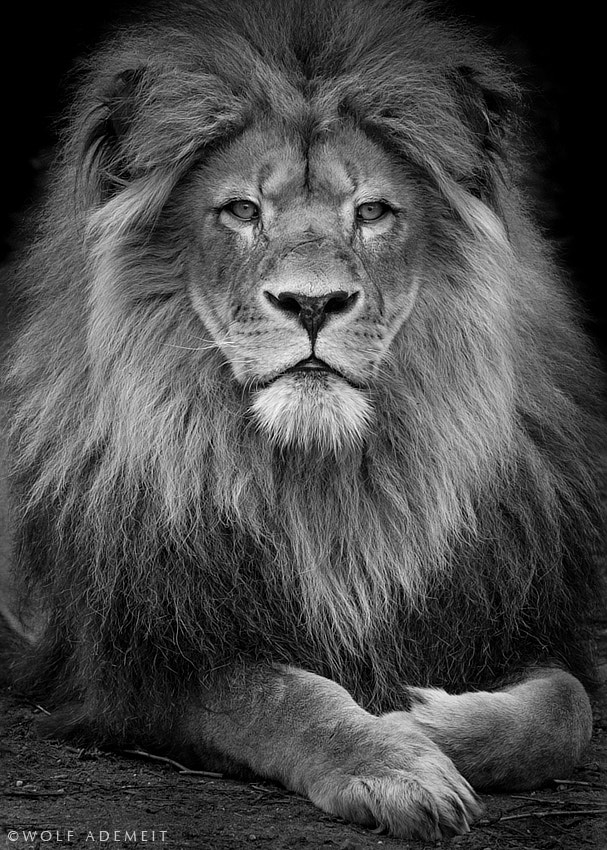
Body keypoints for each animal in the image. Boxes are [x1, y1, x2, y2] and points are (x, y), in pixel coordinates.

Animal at [0, 0, 604, 841]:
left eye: (372, 211)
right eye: (242, 211)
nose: (312, 303)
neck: (326, 480)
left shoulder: (506, 617)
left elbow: (564, 711)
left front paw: (420, 717)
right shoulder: (143, 662)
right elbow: (283, 698)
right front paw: (394, 760)